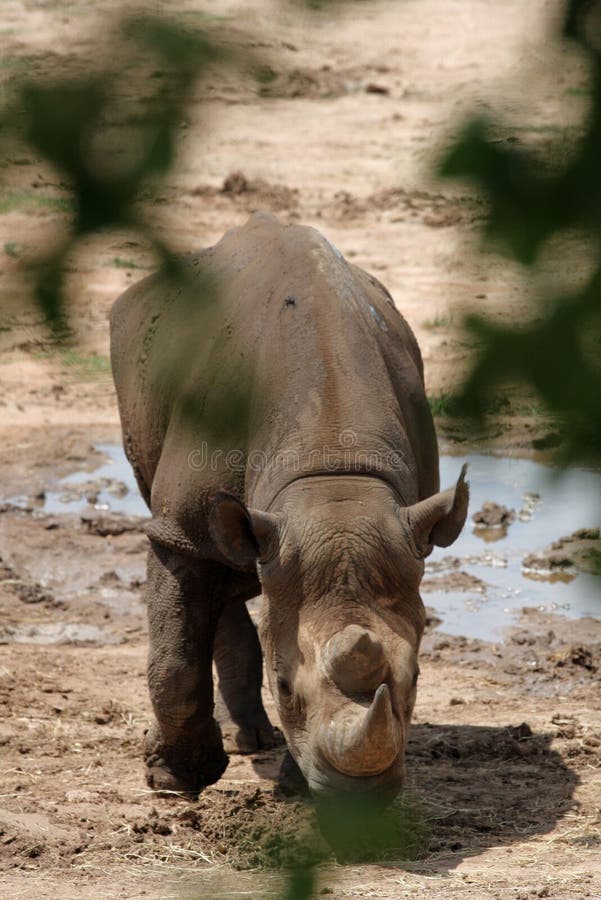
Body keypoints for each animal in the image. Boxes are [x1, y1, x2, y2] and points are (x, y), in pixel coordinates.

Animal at [110, 212, 468, 799]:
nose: (361, 800)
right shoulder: (178, 529)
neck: (332, 470)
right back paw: (242, 745)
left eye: (417, 681)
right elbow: (174, 656)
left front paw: (296, 785)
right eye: (282, 685)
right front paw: (173, 780)